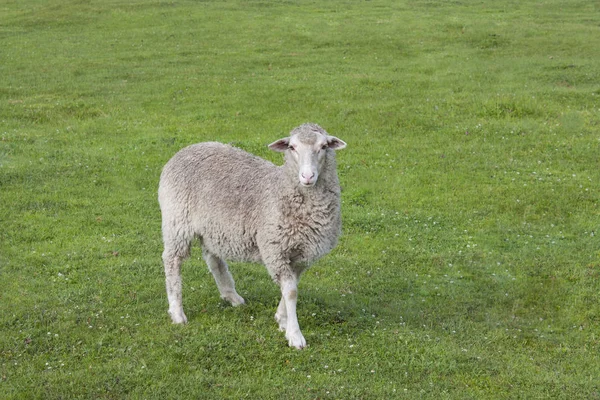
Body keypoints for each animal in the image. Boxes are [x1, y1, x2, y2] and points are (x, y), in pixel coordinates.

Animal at [158, 123, 346, 348]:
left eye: (324, 146)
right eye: (291, 147)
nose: (307, 176)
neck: (283, 190)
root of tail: (187, 149)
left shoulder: (302, 255)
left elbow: (291, 288)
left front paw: (282, 319)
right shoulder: (275, 249)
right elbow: (291, 292)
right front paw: (294, 335)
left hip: (213, 227)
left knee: (213, 259)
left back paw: (232, 296)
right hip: (177, 221)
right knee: (173, 261)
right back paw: (177, 312)